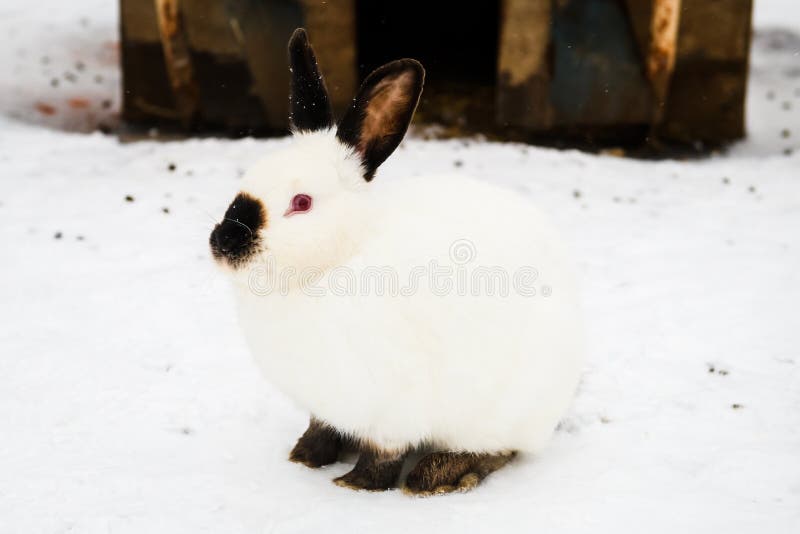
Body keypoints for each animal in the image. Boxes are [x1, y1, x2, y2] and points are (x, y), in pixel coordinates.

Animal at [209, 28, 583, 496]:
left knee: (502, 450)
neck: (340, 257)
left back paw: (438, 475)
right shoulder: (324, 403)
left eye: (301, 203)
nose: (223, 243)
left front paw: (354, 484)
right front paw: (305, 457)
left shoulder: (391, 407)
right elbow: (321, 428)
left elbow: (383, 455)